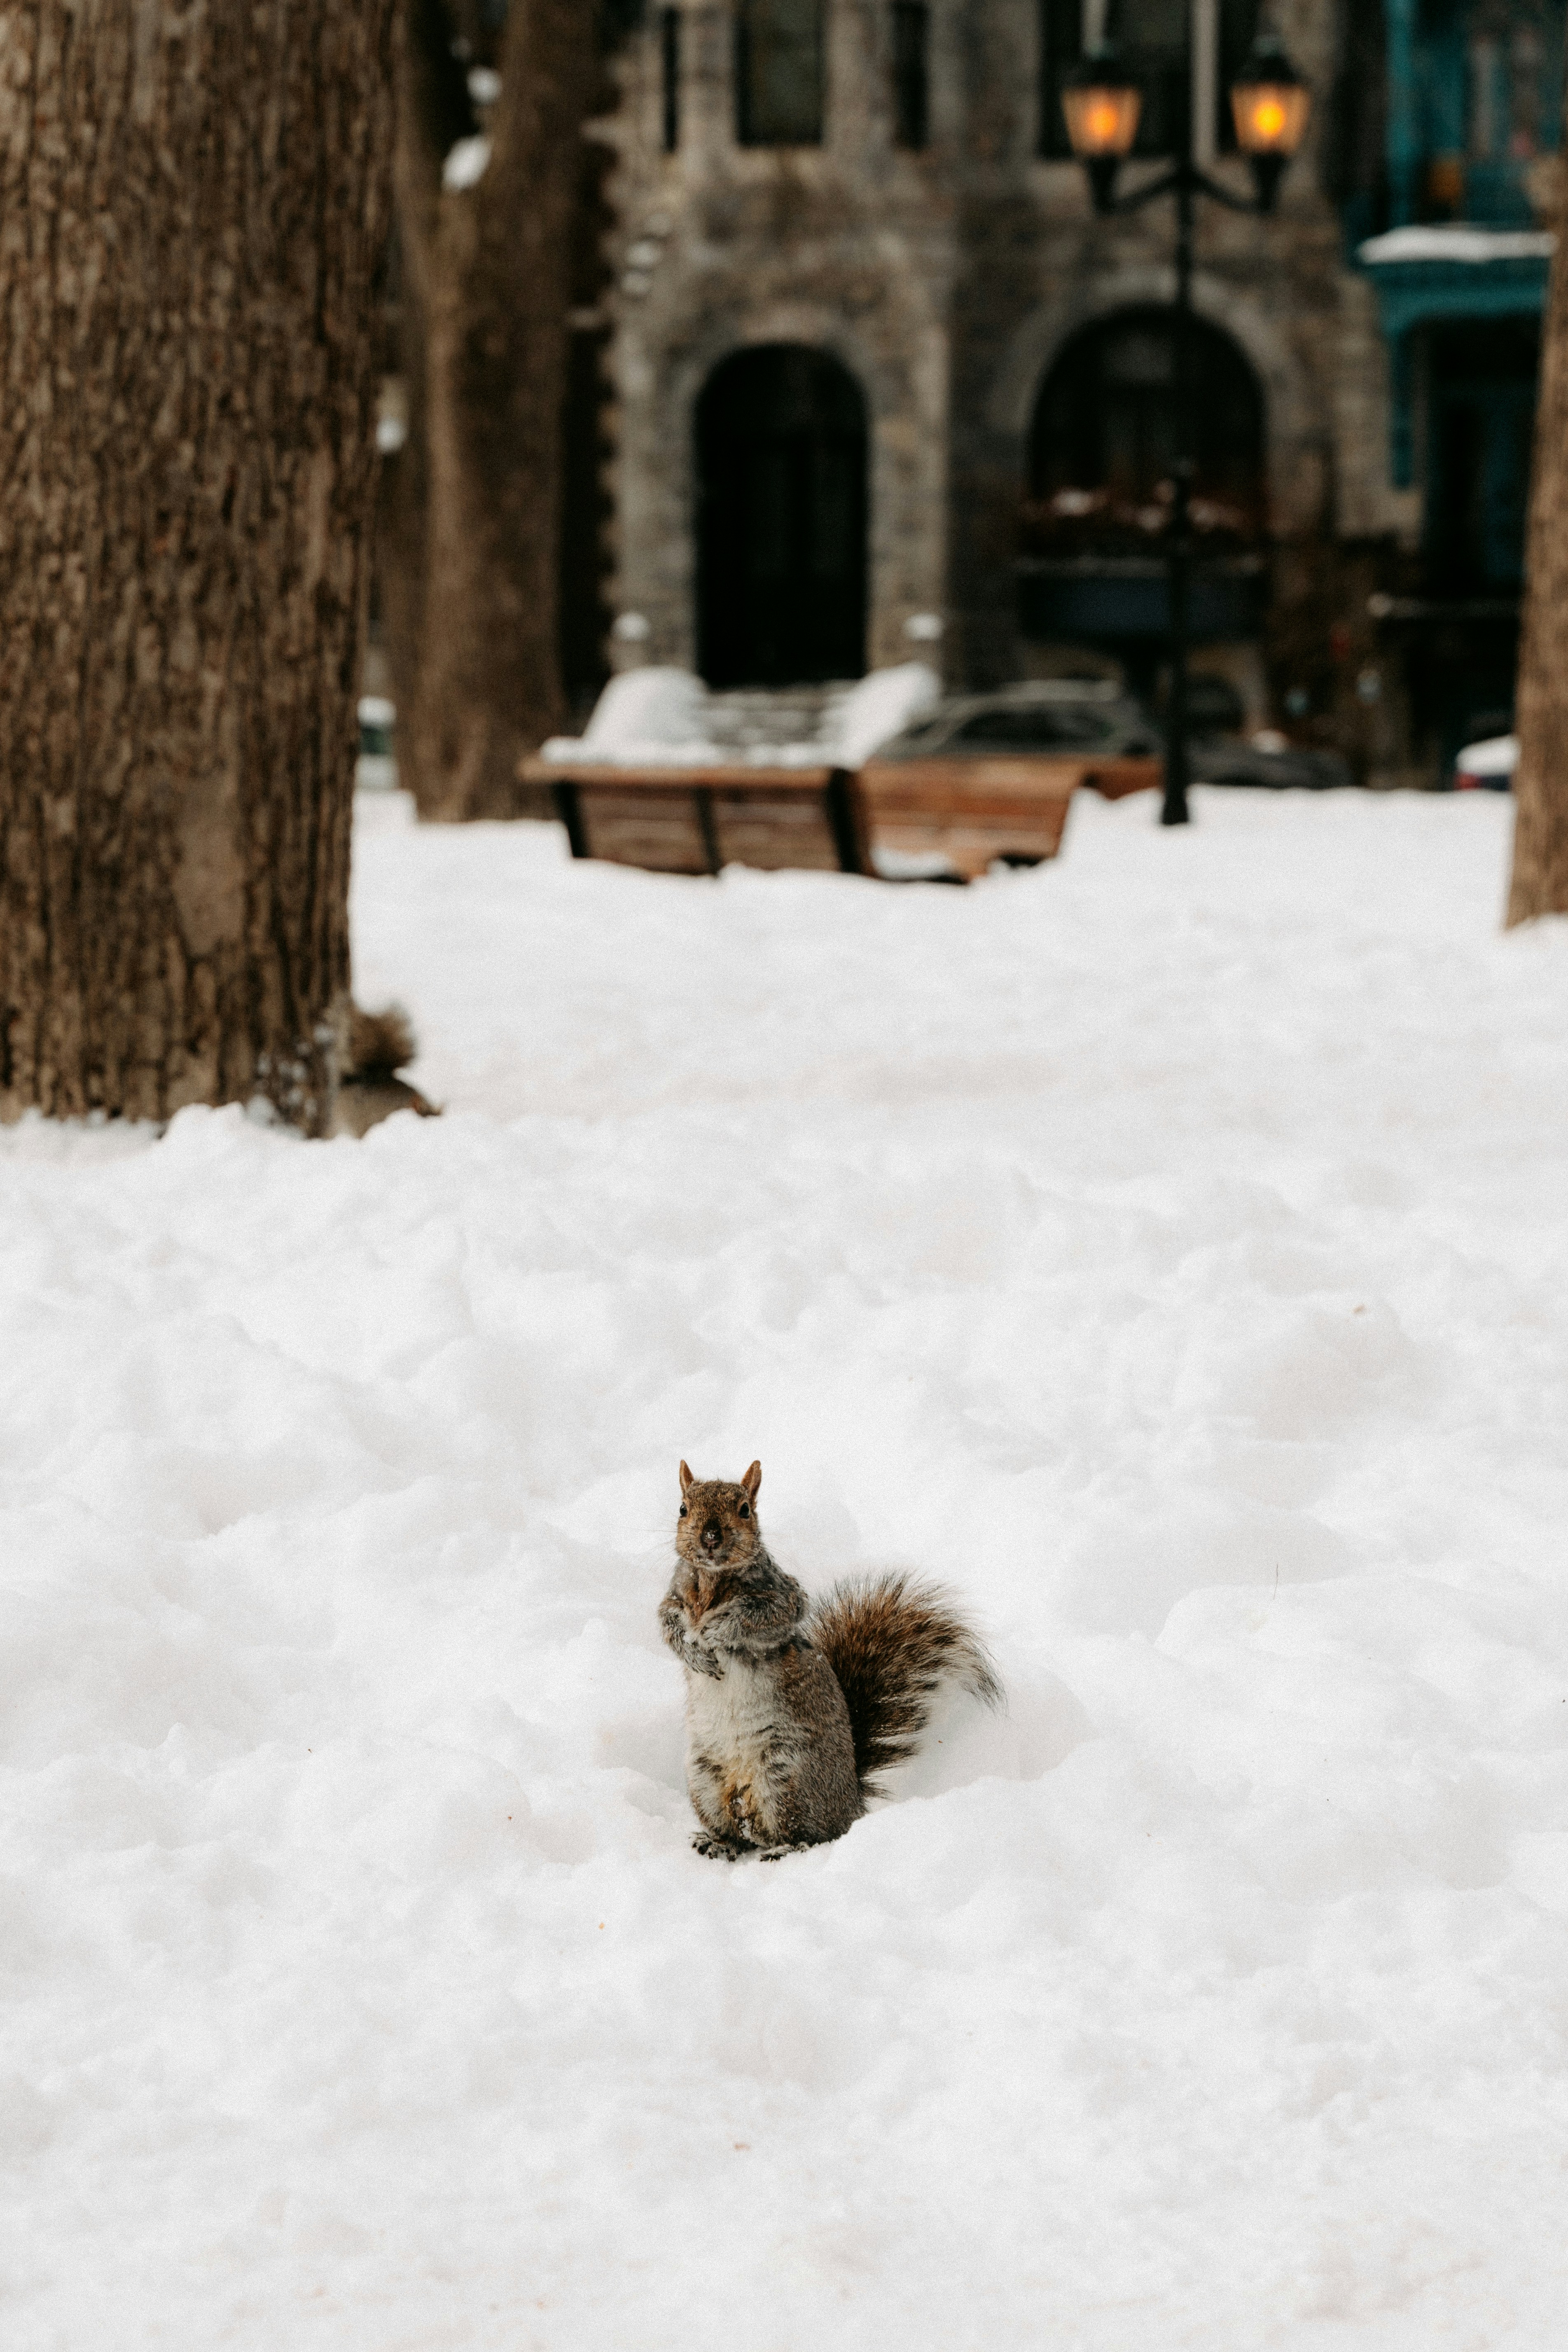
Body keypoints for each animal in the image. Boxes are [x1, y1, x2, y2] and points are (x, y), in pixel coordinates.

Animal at [658, 1459, 1002, 1861]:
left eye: (745, 1510)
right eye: (683, 1509)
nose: (710, 1538)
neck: (711, 1582)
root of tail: (851, 1805)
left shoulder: (784, 1598)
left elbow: (760, 1616)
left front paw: (718, 1629)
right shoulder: (672, 1599)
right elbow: (667, 1624)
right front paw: (691, 1649)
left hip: (787, 1780)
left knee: (806, 1834)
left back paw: (786, 1849)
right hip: (705, 1781)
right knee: (737, 1834)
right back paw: (716, 1842)